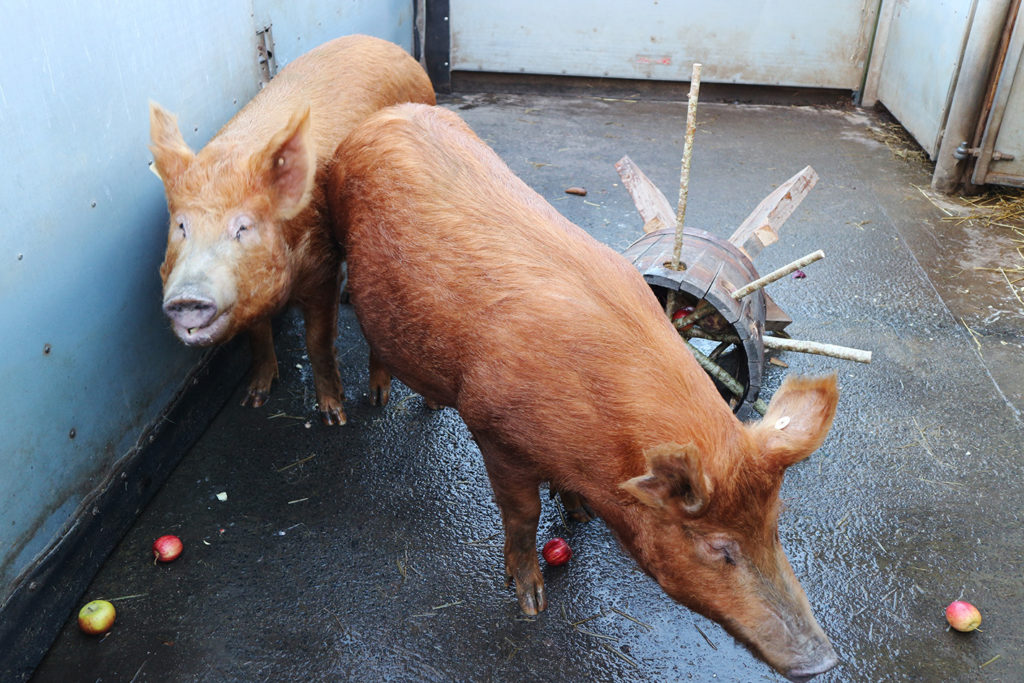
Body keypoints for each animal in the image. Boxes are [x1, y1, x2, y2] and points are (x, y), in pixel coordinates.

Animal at [149, 34, 435, 425]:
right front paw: (253, 400)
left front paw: (335, 416)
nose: (186, 297)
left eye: (243, 227)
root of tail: (390, 46)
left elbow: (318, 341)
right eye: (181, 226)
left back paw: (376, 395)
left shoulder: (321, 269)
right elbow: (257, 335)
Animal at [327, 103, 840, 680]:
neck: (598, 445)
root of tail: (383, 115)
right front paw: (531, 602)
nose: (825, 659)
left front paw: (579, 514)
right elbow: (522, 514)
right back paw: (378, 399)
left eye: (775, 528)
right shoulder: (492, 428)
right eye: (719, 547)